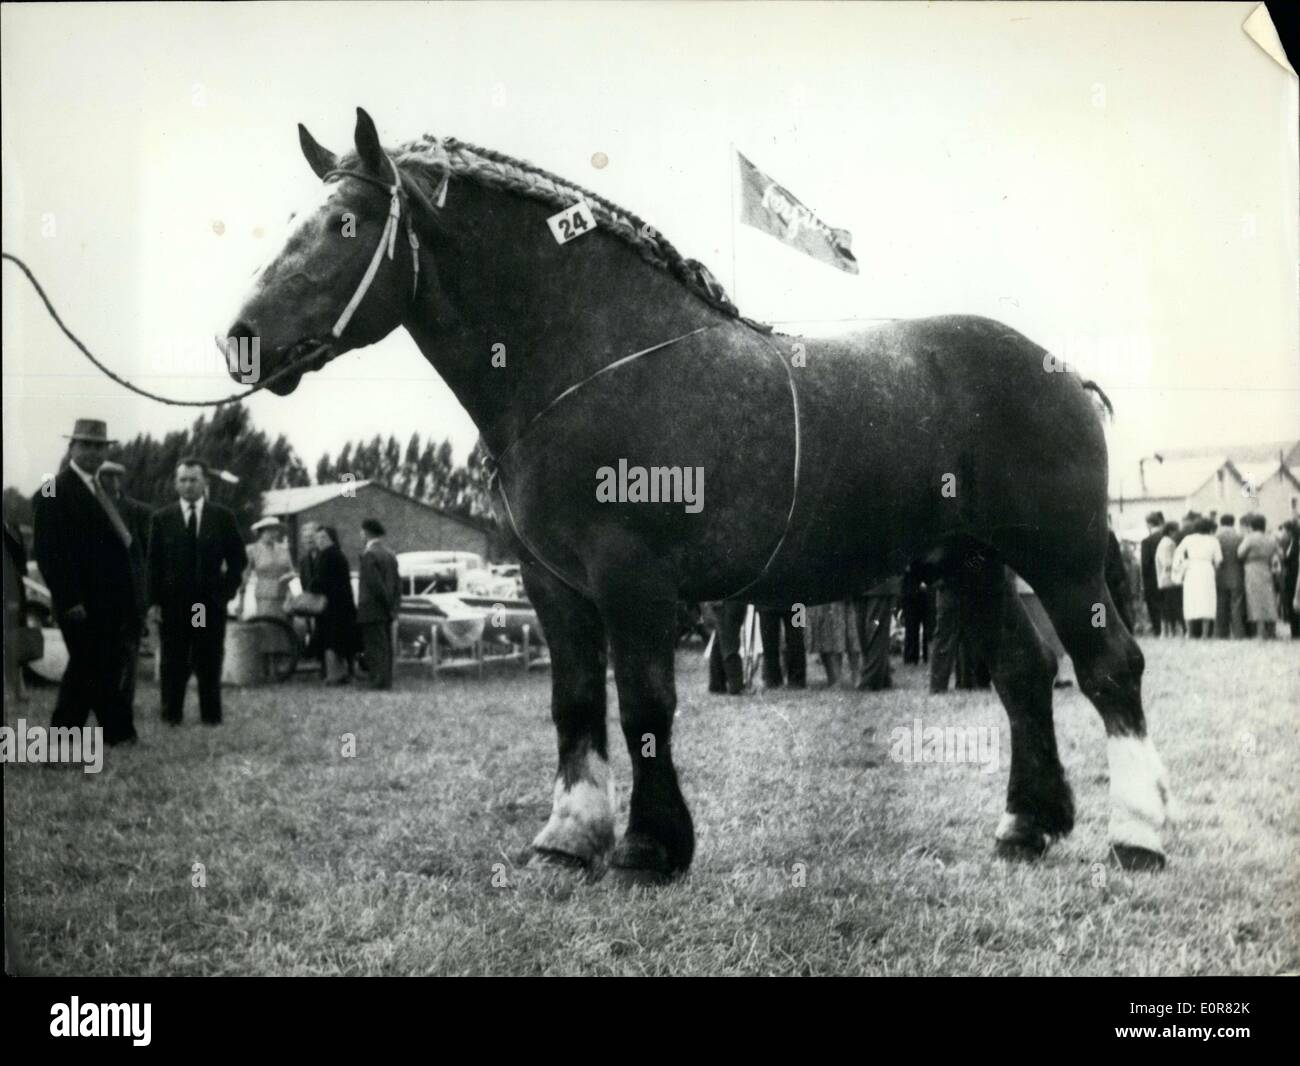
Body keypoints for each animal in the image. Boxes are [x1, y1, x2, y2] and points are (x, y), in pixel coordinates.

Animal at [225, 108, 1174, 884]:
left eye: (343, 225)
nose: (241, 340)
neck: (586, 360)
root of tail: (1064, 373)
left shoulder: (632, 580)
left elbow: (646, 702)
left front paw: (648, 847)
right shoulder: (552, 584)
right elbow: (575, 702)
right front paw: (568, 839)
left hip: (1060, 562)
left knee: (1109, 668)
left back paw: (1138, 837)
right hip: (972, 565)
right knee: (1024, 672)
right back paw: (1027, 825)